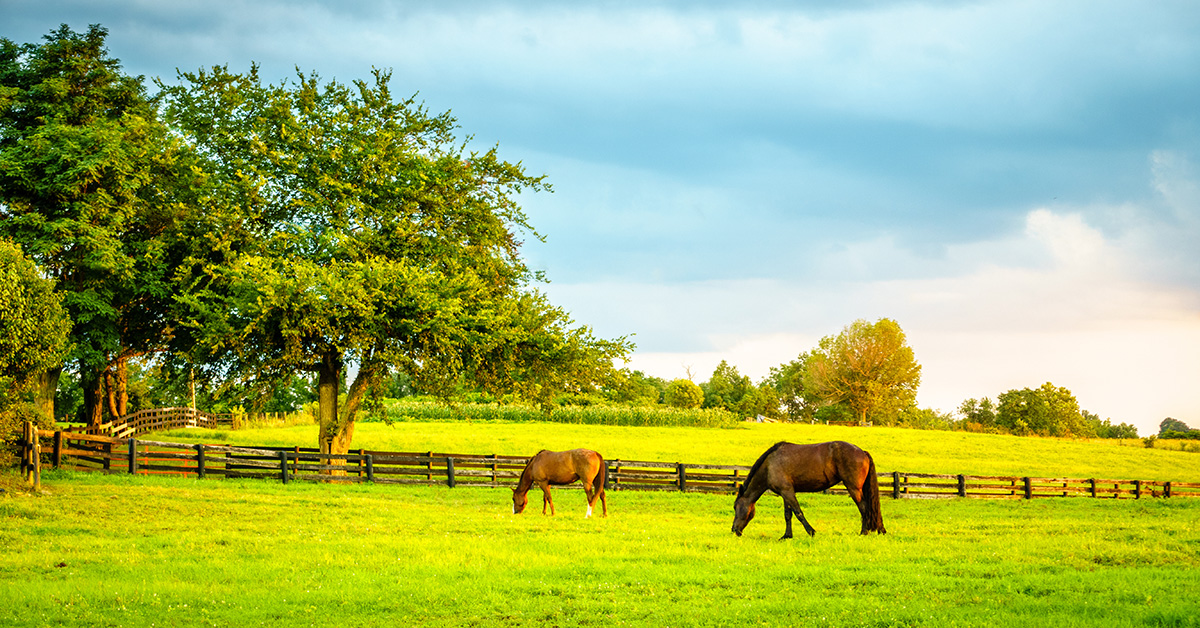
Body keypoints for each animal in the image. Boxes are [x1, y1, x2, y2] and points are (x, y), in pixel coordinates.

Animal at [731, 441, 886, 538]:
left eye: (735, 507)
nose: (734, 530)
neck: (770, 465)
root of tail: (862, 452)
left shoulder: (788, 492)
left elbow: (798, 512)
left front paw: (811, 532)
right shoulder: (785, 493)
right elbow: (788, 515)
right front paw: (787, 535)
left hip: (854, 489)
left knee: (864, 508)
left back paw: (864, 532)